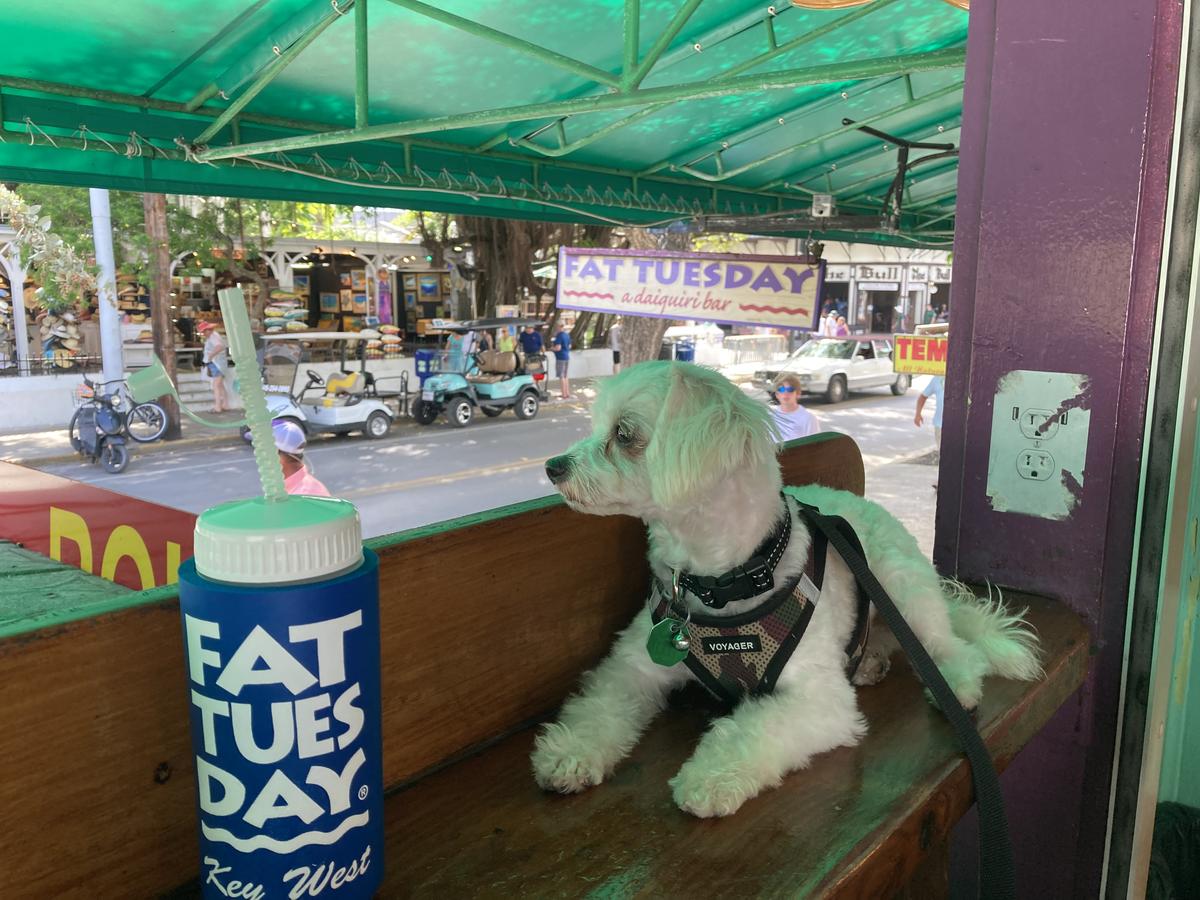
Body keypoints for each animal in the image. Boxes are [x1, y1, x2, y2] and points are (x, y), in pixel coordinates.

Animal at [532, 361, 1041, 818]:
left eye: (623, 434)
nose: (553, 466)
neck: (723, 583)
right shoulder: (633, 667)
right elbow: (598, 707)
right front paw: (569, 751)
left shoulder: (820, 699)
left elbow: (753, 730)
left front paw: (710, 776)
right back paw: (869, 660)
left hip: (900, 584)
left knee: (946, 645)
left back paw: (954, 682)